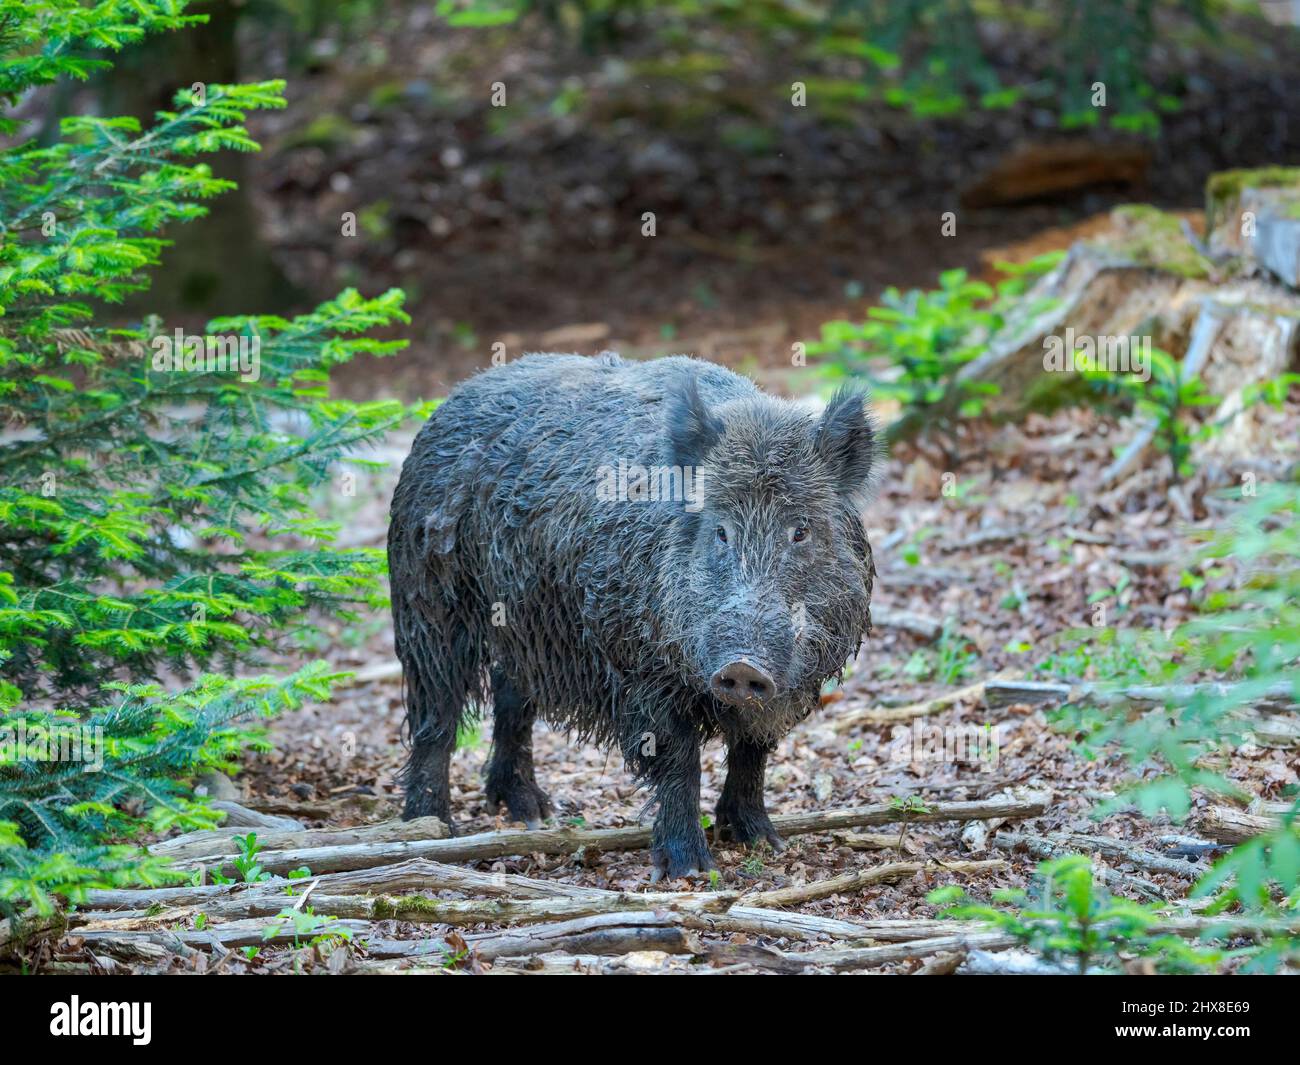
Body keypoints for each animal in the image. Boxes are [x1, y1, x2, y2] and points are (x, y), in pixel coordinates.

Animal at [388, 352, 877, 879]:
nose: (744, 666)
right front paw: (690, 870)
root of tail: (450, 400)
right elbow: (679, 761)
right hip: (426, 602)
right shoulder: (637, 668)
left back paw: (533, 813)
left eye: (801, 531)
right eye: (720, 530)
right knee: (436, 714)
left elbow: (752, 754)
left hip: (524, 625)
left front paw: (763, 843)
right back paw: (430, 828)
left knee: (510, 698)